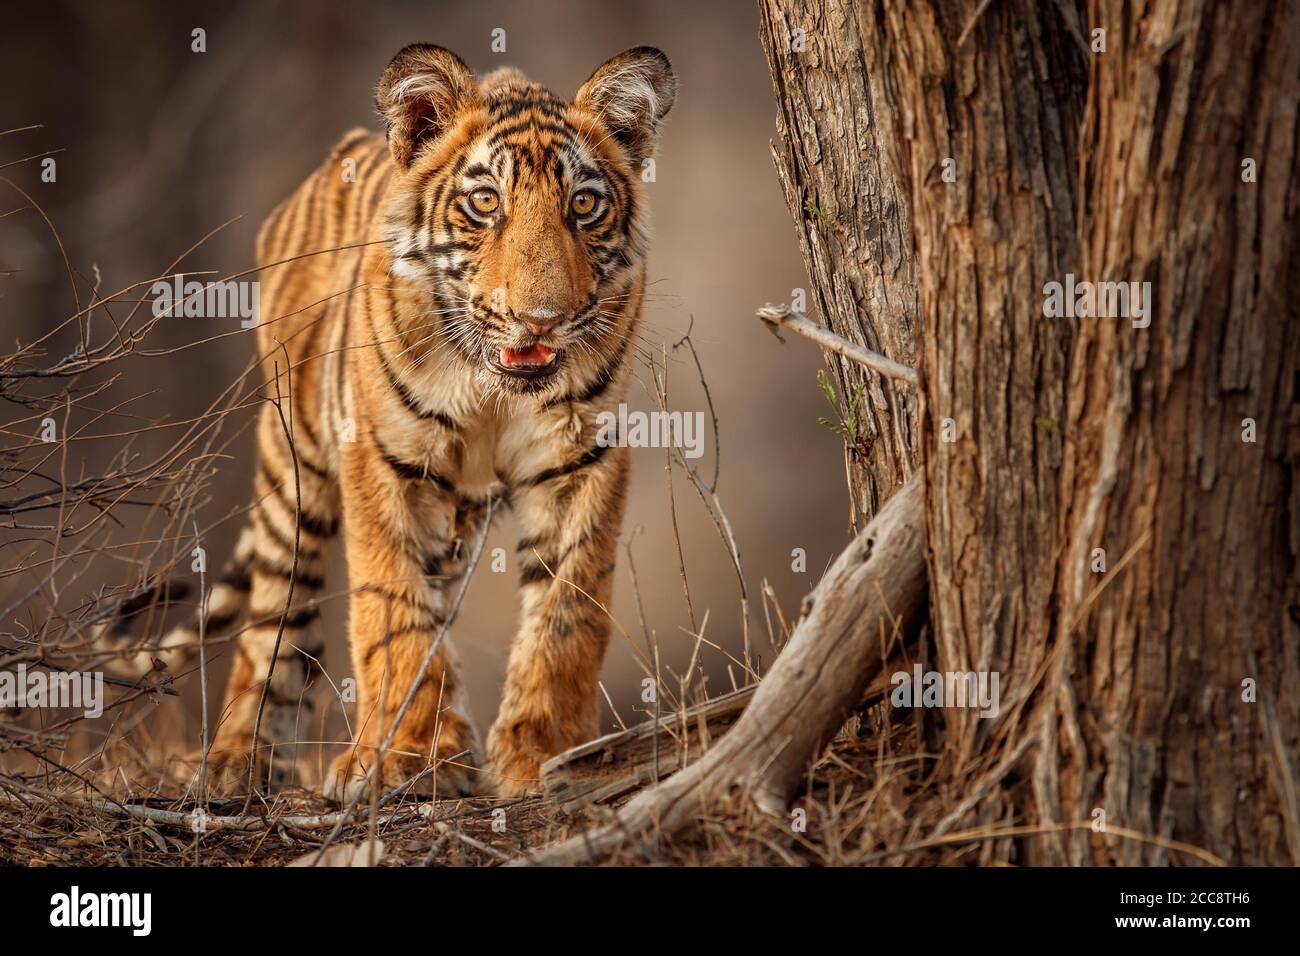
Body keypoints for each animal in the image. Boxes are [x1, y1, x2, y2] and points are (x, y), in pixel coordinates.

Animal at [100, 44, 675, 801]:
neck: (492, 389)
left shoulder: (580, 463)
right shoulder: (380, 459)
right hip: (292, 467)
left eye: (584, 205)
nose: (540, 319)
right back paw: (237, 760)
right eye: (485, 203)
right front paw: (408, 758)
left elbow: (566, 616)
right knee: (277, 622)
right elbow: (393, 612)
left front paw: (545, 757)